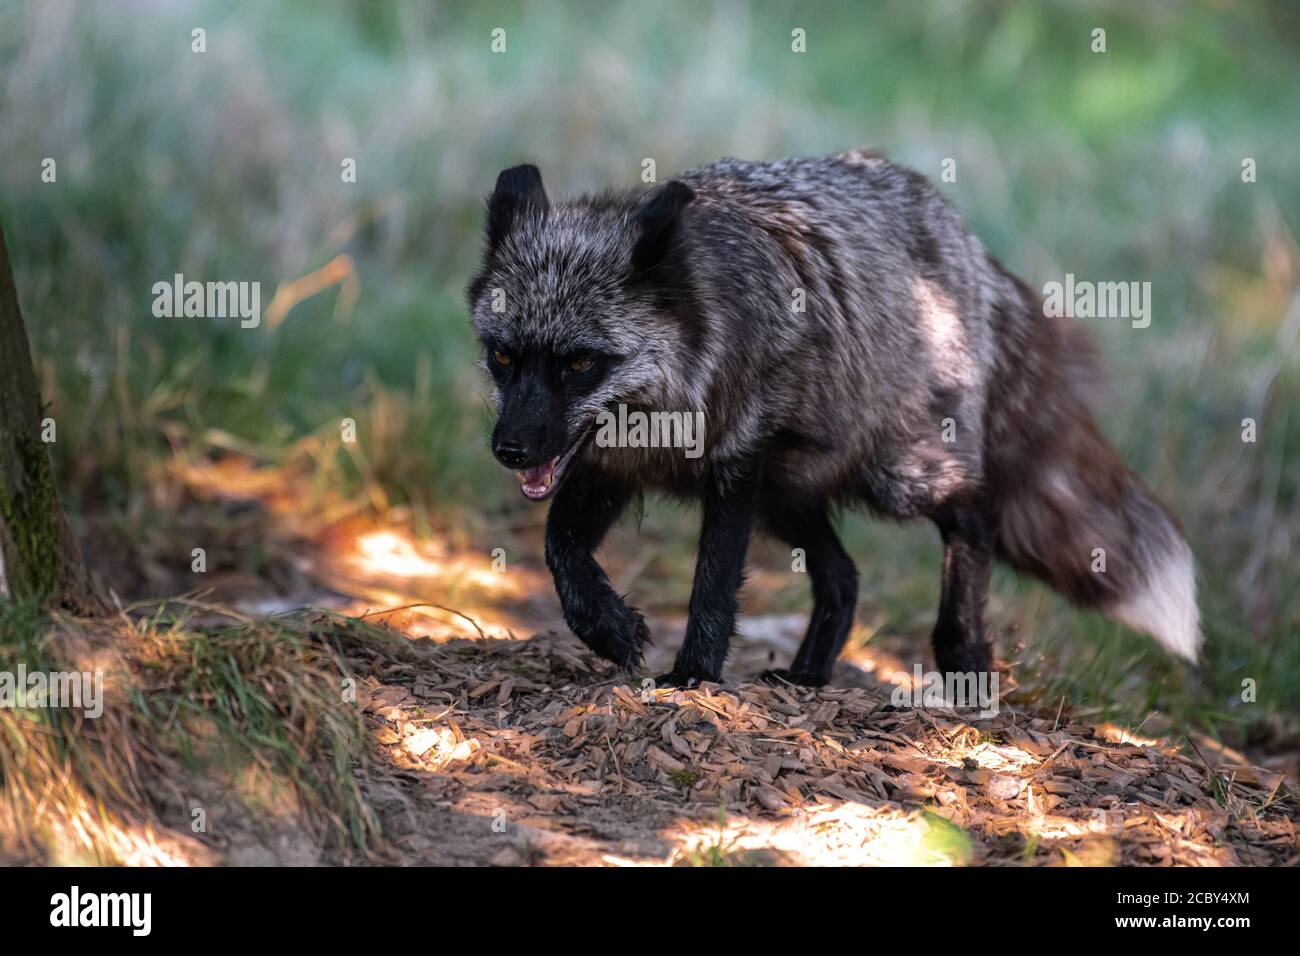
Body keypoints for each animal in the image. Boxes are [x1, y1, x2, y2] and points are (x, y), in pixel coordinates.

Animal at [466, 150, 1201, 688]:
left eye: (578, 363)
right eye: (502, 355)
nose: (508, 449)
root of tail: (964, 237)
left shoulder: (735, 466)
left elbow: (712, 589)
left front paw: (693, 677)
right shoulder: (612, 466)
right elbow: (560, 551)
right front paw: (610, 630)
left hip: (894, 476)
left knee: (974, 512)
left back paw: (962, 652)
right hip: (787, 495)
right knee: (845, 577)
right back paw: (807, 677)